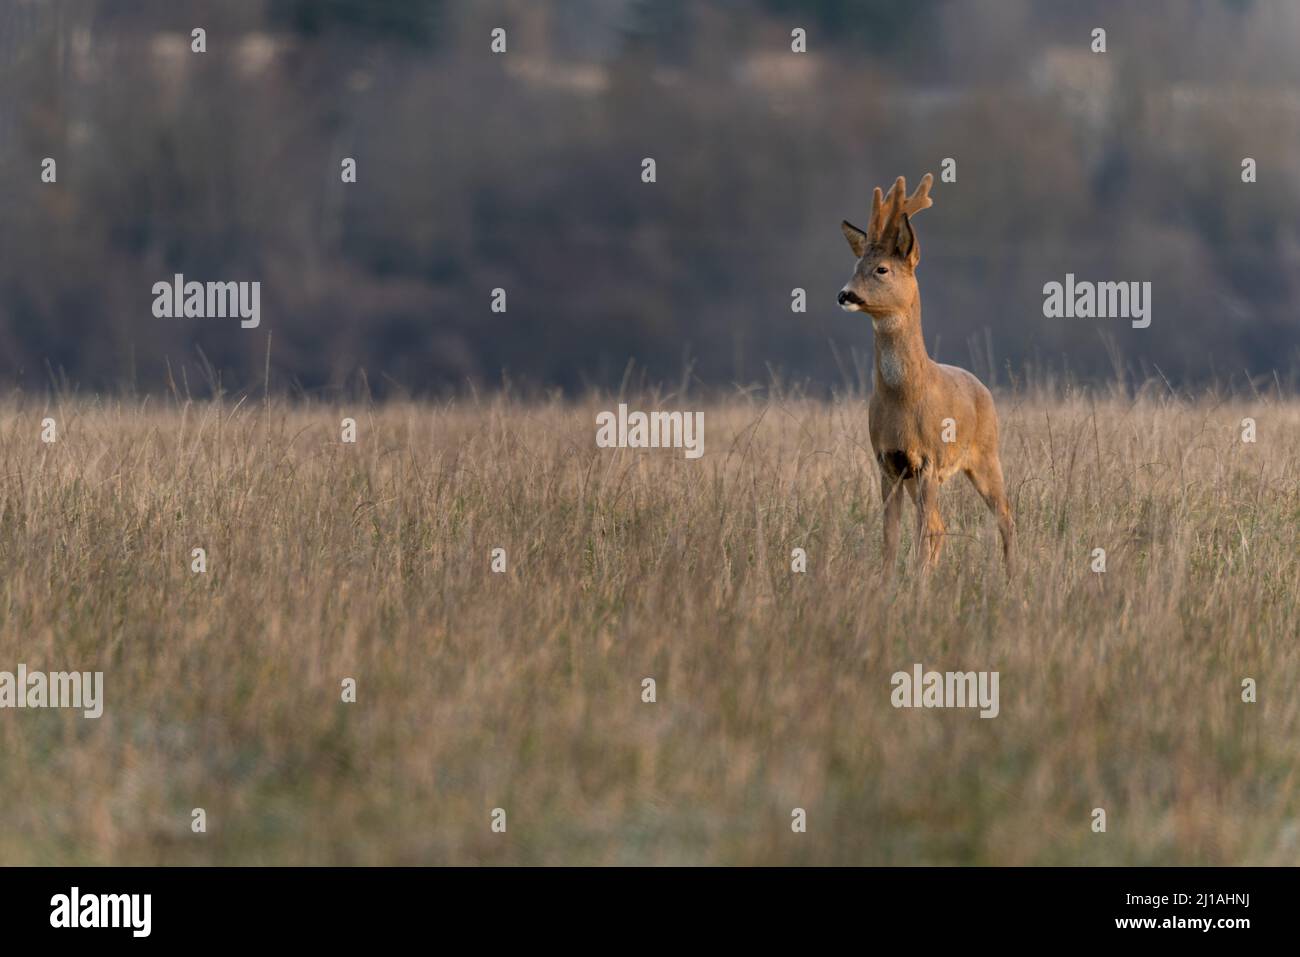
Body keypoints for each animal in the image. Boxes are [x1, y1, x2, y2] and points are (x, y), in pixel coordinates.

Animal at [837, 173, 1014, 578]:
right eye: (855, 266)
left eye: (882, 269)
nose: (844, 294)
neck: (904, 396)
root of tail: (981, 386)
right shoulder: (887, 460)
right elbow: (890, 533)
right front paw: (887, 581)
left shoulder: (929, 458)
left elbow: (923, 531)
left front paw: (917, 583)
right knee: (942, 524)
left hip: (986, 453)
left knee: (1003, 516)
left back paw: (1012, 575)